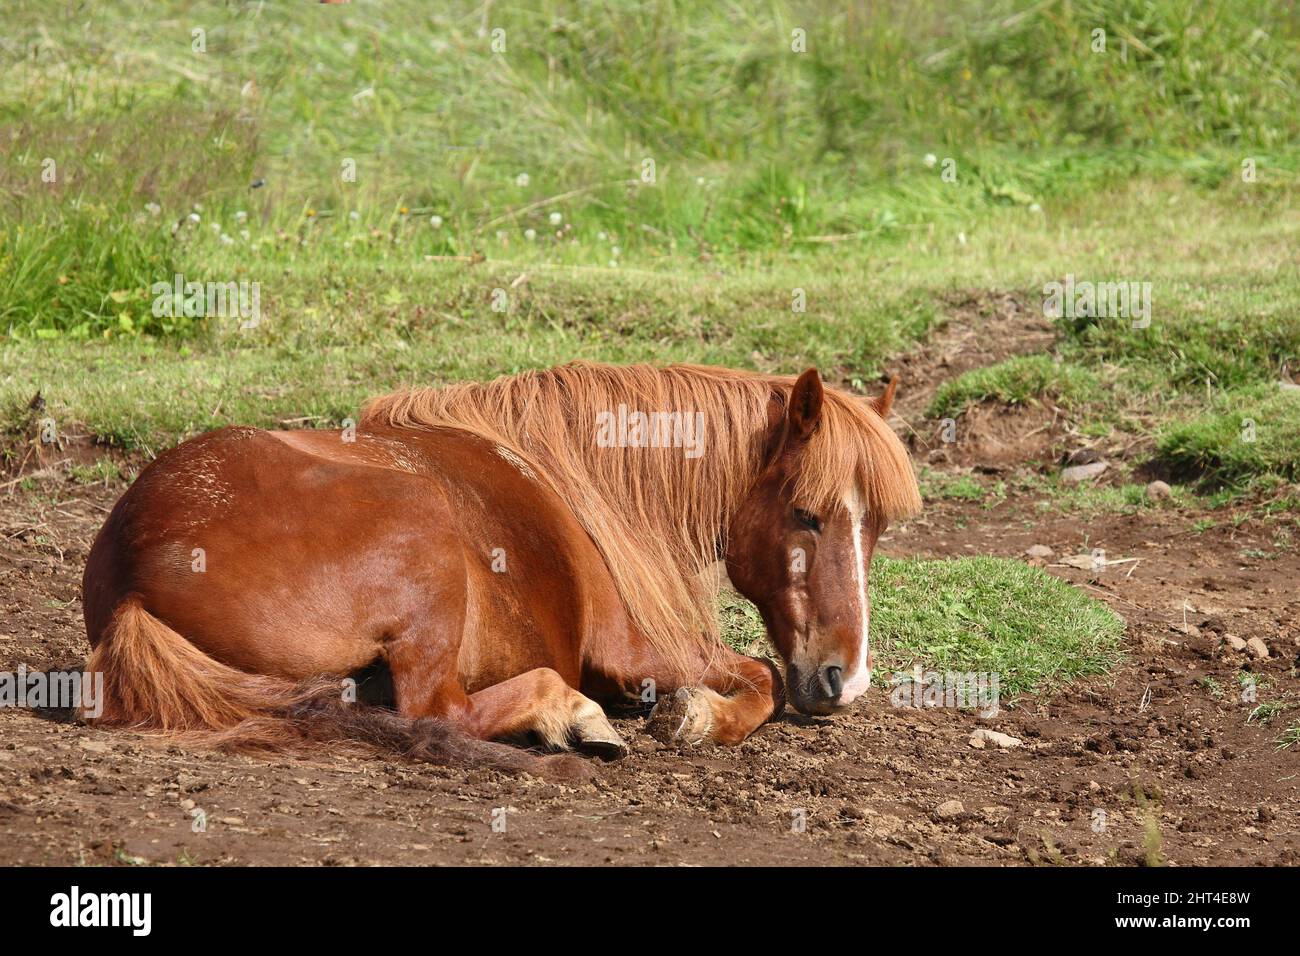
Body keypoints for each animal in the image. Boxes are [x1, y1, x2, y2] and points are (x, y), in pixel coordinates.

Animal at [80, 362, 921, 777]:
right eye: (807, 514)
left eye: (877, 525)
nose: (847, 678)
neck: (584, 480)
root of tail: (131, 575)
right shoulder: (634, 648)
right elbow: (762, 677)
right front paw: (694, 717)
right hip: (421, 533)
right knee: (438, 711)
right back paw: (570, 716)